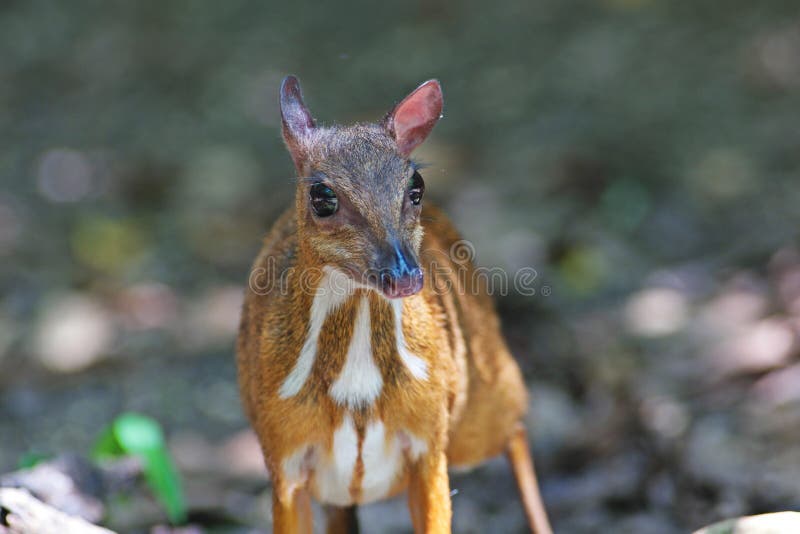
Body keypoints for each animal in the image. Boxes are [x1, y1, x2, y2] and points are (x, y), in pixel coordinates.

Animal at [236, 75, 552, 534]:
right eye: (322, 197)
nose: (404, 277)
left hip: (480, 399)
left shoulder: (428, 441)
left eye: (415, 186)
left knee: (517, 427)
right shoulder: (284, 456)